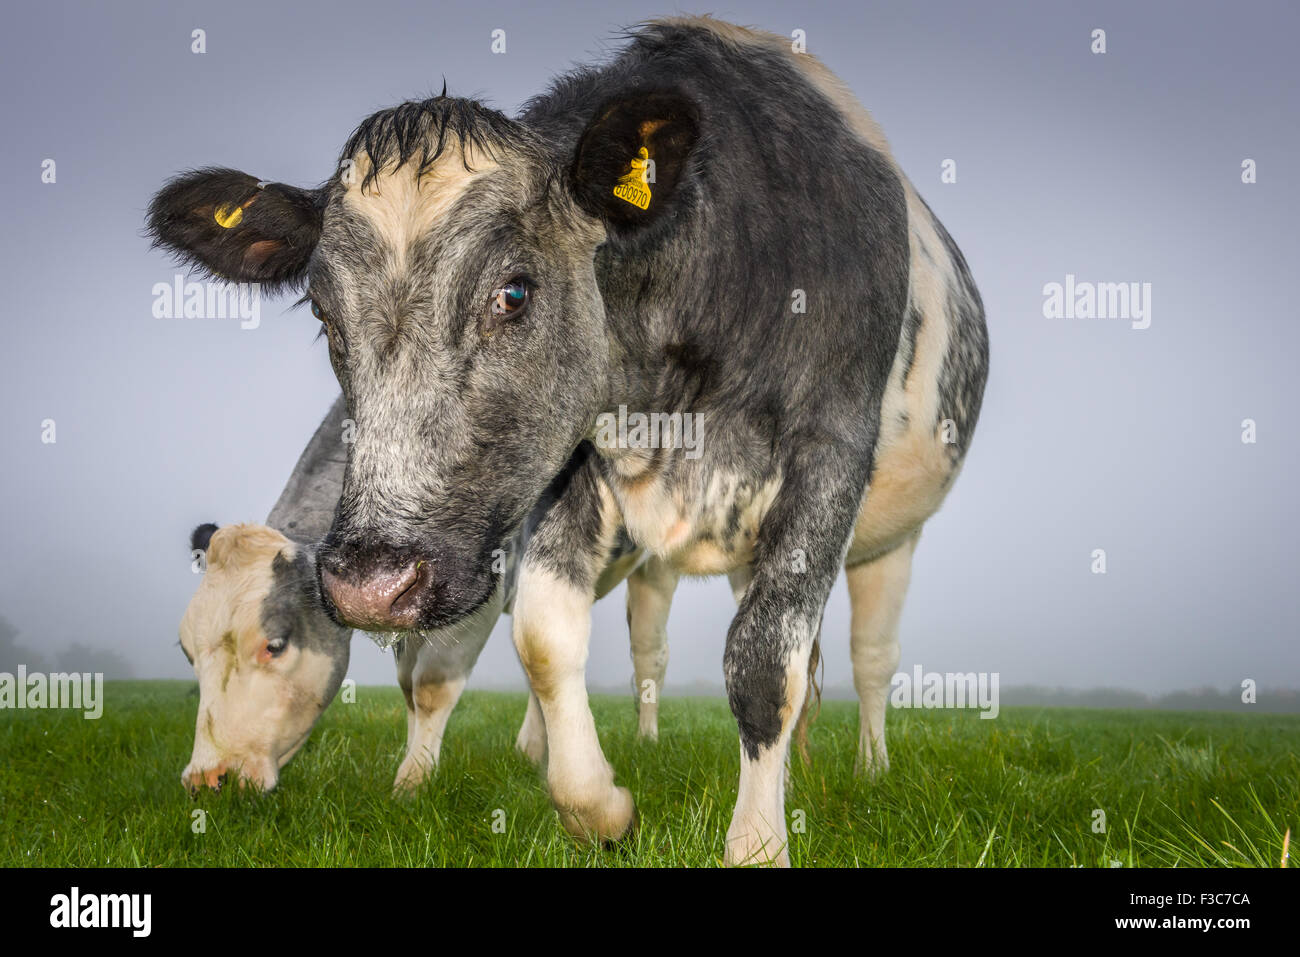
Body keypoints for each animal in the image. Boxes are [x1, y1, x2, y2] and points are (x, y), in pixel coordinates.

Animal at [148, 17, 988, 865]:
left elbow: (761, 666)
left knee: (866, 659)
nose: (368, 584)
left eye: (514, 292)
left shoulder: (827, 457)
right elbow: (543, 641)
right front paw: (596, 804)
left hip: (889, 540)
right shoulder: (561, 477)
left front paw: (757, 843)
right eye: (323, 312)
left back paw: (867, 767)